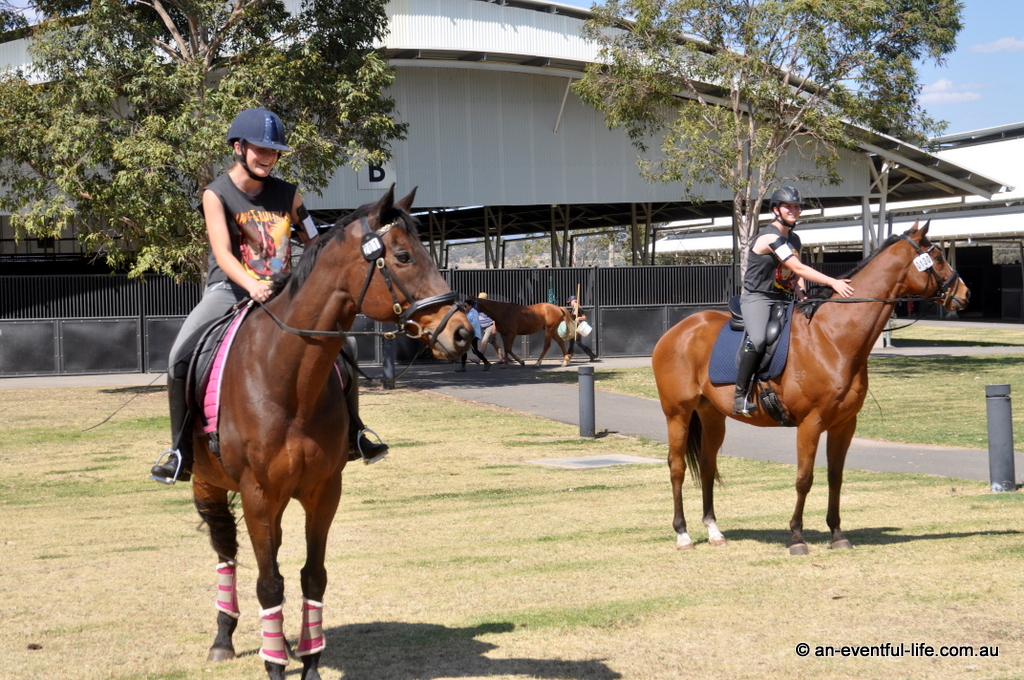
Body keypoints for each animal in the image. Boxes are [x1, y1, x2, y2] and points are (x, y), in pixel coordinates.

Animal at [189, 186, 472, 680]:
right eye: (403, 256)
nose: (461, 332)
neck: (286, 380)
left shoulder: (323, 491)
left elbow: (311, 576)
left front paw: (308, 661)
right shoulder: (257, 493)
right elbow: (268, 582)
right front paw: (275, 666)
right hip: (208, 483)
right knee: (225, 549)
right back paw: (224, 638)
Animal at [651, 222, 969, 555]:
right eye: (937, 257)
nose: (965, 294)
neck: (832, 336)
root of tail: (678, 330)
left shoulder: (844, 424)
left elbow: (835, 477)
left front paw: (838, 534)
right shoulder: (810, 423)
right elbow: (804, 478)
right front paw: (797, 537)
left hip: (712, 415)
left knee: (708, 466)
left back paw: (714, 531)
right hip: (677, 414)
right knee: (676, 467)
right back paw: (683, 534)